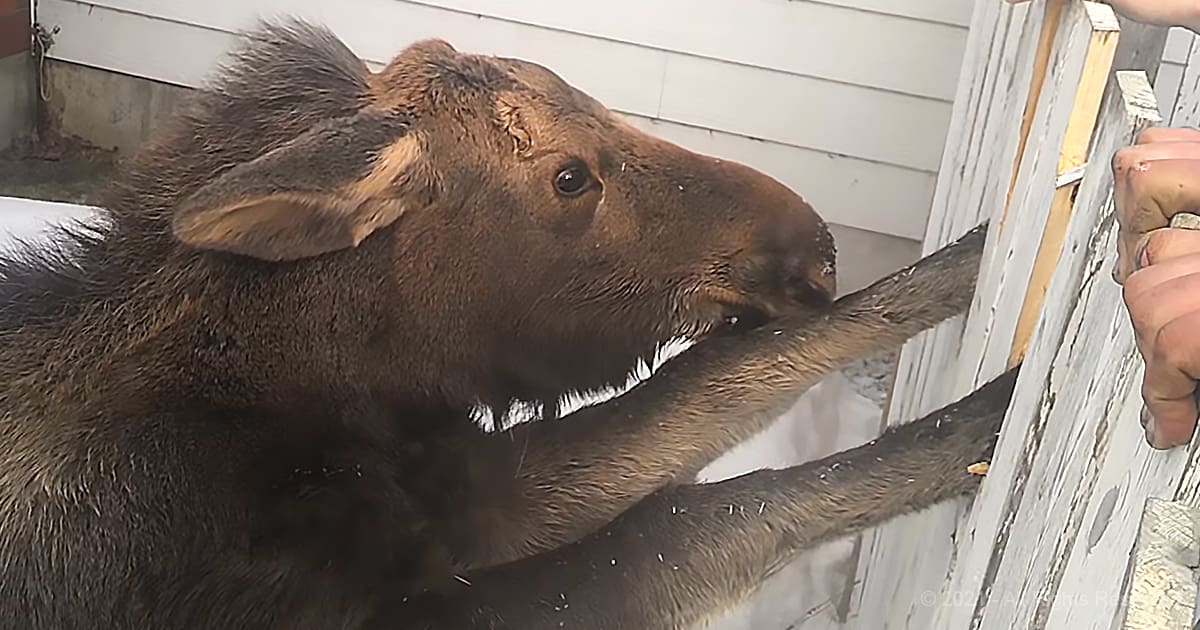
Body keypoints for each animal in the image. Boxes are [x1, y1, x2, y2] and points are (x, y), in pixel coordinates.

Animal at [0, 19, 1017, 630]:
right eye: (570, 176)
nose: (816, 249)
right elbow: (695, 518)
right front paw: (982, 424)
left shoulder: (463, 490)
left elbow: (713, 385)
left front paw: (978, 264)